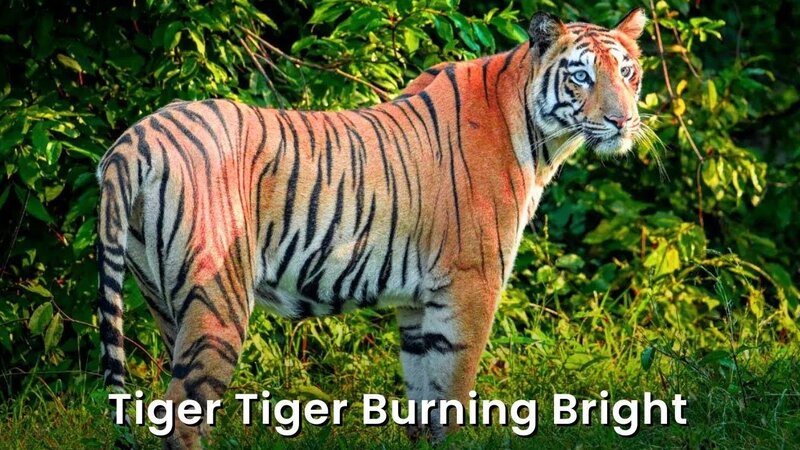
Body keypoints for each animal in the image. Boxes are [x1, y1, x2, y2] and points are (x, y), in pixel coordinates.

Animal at [96, 9, 647, 448]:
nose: (623, 121)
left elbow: (424, 401)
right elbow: (453, 394)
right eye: (581, 76)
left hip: (168, 304)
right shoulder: (471, 285)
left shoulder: (419, 303)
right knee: (181, 419)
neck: (538, 139)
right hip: (219, 299)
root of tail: (137, 136)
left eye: (628, 72)